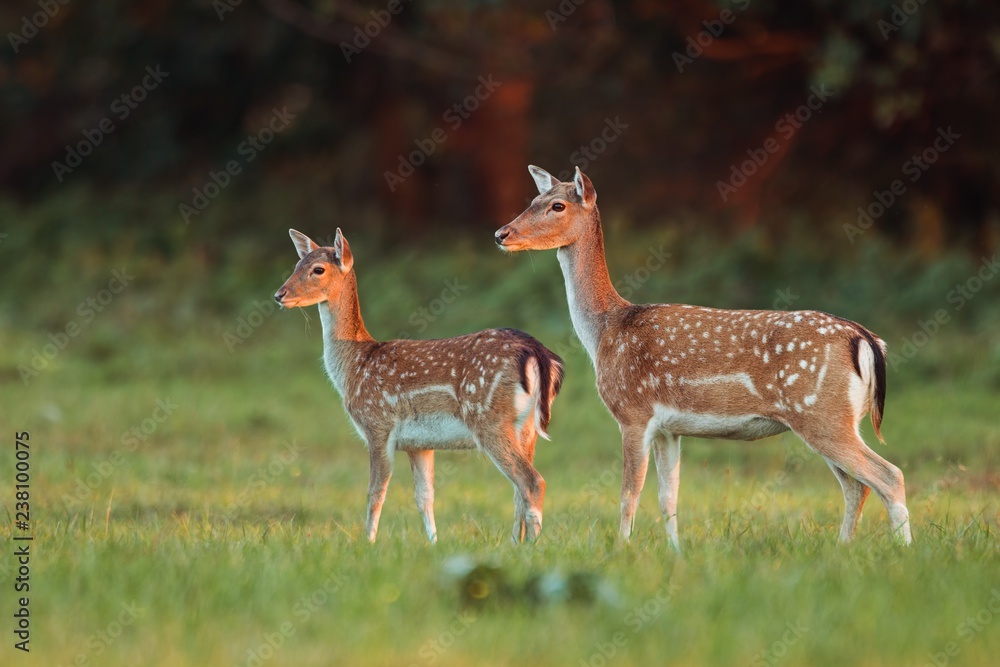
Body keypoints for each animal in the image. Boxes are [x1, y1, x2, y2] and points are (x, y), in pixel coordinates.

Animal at [274, 228, 563, 544]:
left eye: (318, 269)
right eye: (296, 265)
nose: (279, 294)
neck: (355, 365)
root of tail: (537, 351)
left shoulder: (378, 425)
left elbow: (375, 492)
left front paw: (368, 543)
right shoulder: (419, 444)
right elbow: (424, 497)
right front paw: (433, 544)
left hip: (489, 417)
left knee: (531, 481)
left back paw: (532, 545)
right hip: (526, 428)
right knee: (518, 488)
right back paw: (515, 544)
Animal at [494, 166, 912, 549]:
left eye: (557, 205)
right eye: (534, 199)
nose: (501, 234)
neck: (604, 332)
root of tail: (865, 338)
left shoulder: (633, 412)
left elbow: (629, 494)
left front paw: (621, 550)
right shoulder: (669, 428)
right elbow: (668, 497)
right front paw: (675, 553)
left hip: (822, 413)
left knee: (888, 475)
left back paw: (903, 549)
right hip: (830, 417)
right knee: (857, 486)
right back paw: (844, 548)